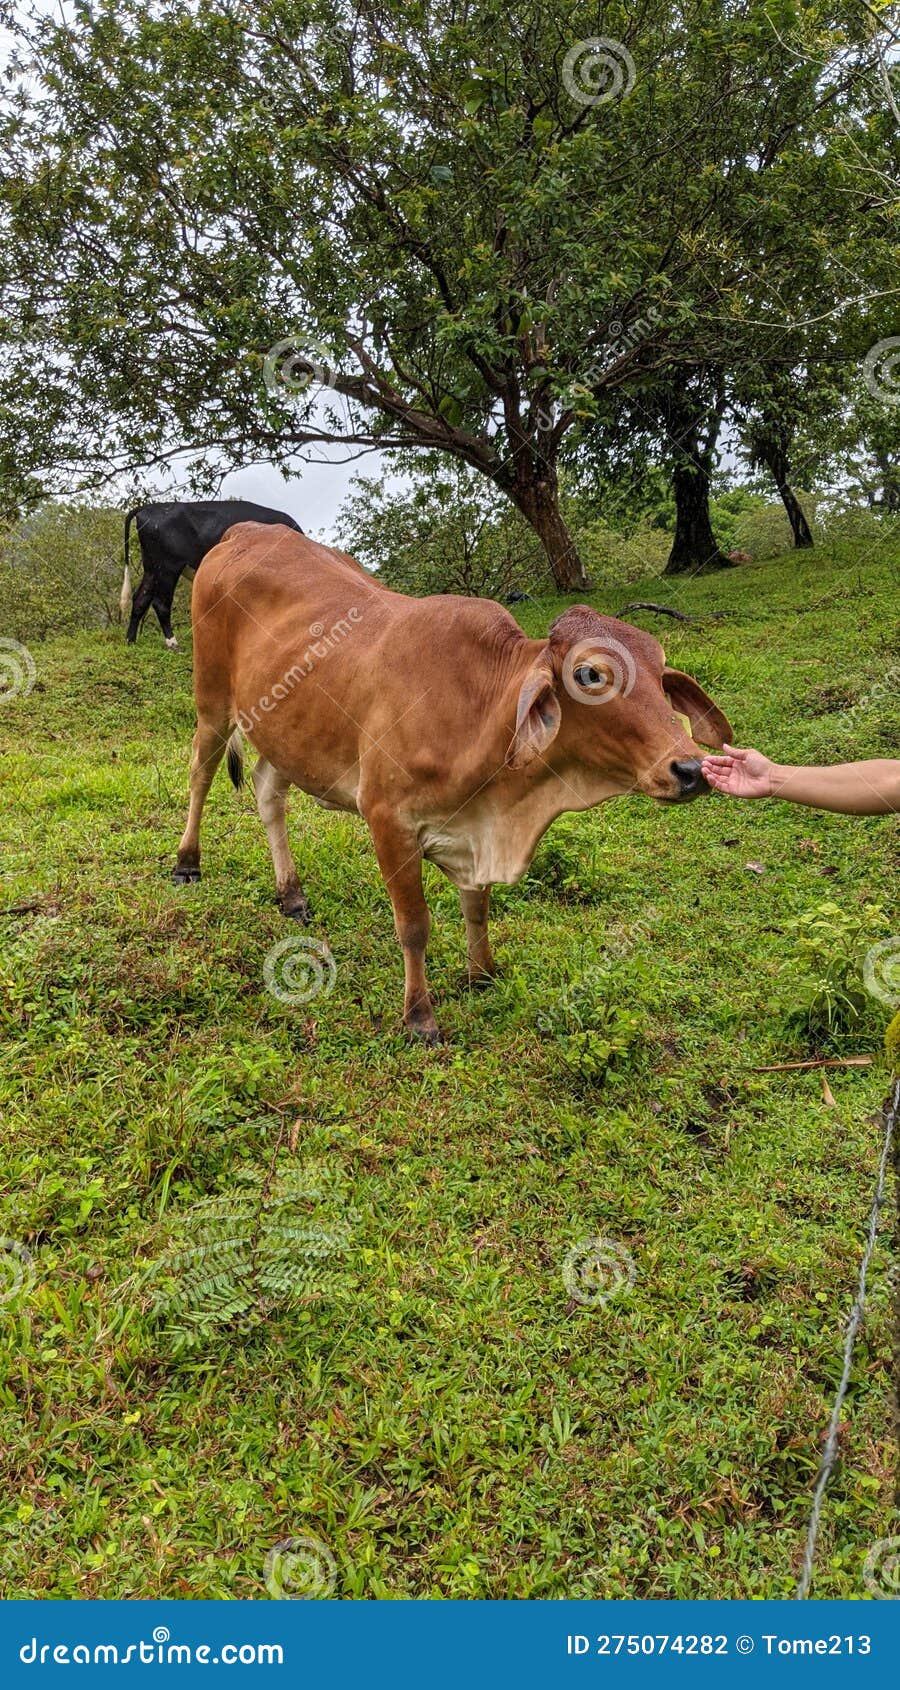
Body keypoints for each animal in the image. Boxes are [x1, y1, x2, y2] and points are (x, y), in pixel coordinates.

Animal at [120, 499, 304, 648]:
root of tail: (150, 507)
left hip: (152, 566)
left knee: (140, 598)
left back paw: (130, 640)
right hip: (168, 566)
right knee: (160, 603)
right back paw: (173, 644)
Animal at [173, 522, 733, 1043]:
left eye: (661, 675)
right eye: (590, 675)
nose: (689, 769)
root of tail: (246, 530)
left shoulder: (472, 831)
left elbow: (477, 908)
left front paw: (481, 975)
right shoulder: (388, 820)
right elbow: (414, 925)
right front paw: (419, 1017)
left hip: (284, 733)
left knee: (269, 794)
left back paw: (291, 894)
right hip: (213, 701)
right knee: (200, 773)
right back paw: (186, 862)